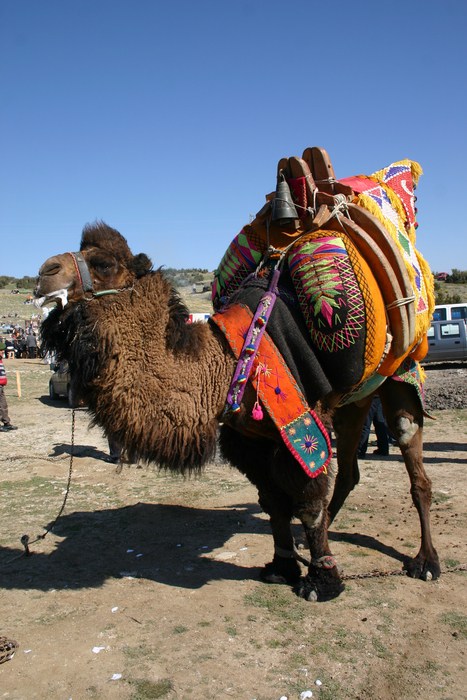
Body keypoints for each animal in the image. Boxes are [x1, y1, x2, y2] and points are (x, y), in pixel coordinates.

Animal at [35, 221, 441, 601]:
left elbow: (307, 500)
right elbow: (273, 501)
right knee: (348, 473)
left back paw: (425, 562)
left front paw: (322, 581)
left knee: (413, 462)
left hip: (401, 374)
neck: (229, 364)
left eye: (103, 263)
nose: (43, 272)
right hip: (352, 403)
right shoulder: (250, 437)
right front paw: (282, 566)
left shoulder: (302, 425)